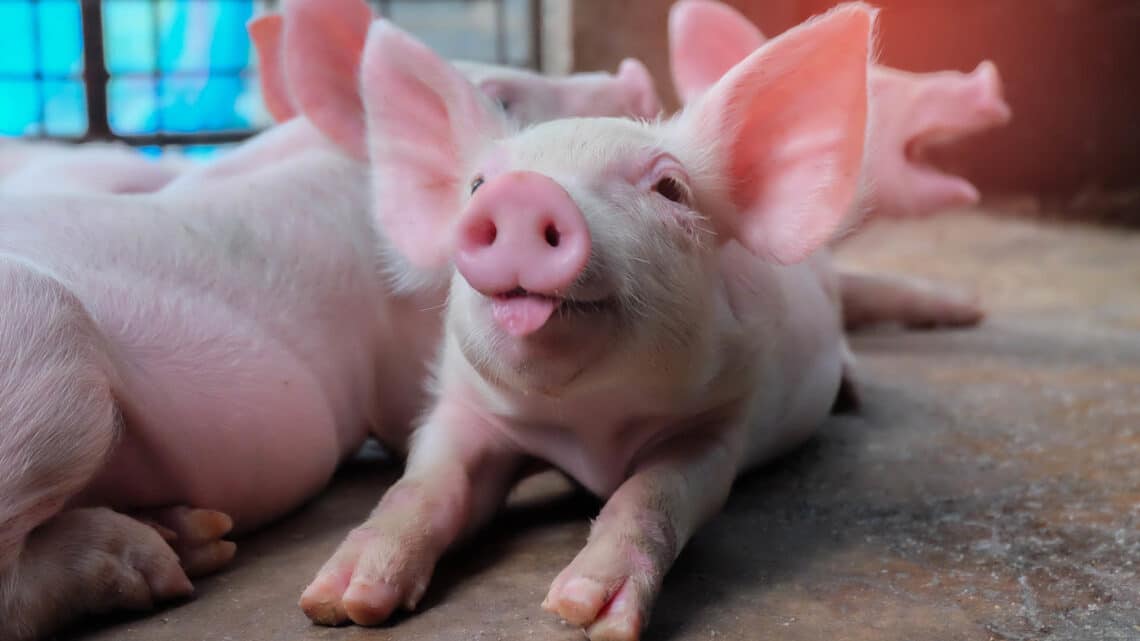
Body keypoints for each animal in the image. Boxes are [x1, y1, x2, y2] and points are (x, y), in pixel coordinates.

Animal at [295, 5, 893, 641]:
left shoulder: (719, 421)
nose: (523, 192)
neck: (589, 426)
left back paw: (854, 398)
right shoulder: (465, 406)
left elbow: (652, 496)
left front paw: (582, 611)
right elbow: (422, 483)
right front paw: (340, 603)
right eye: (477, 186)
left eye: (670, 189)